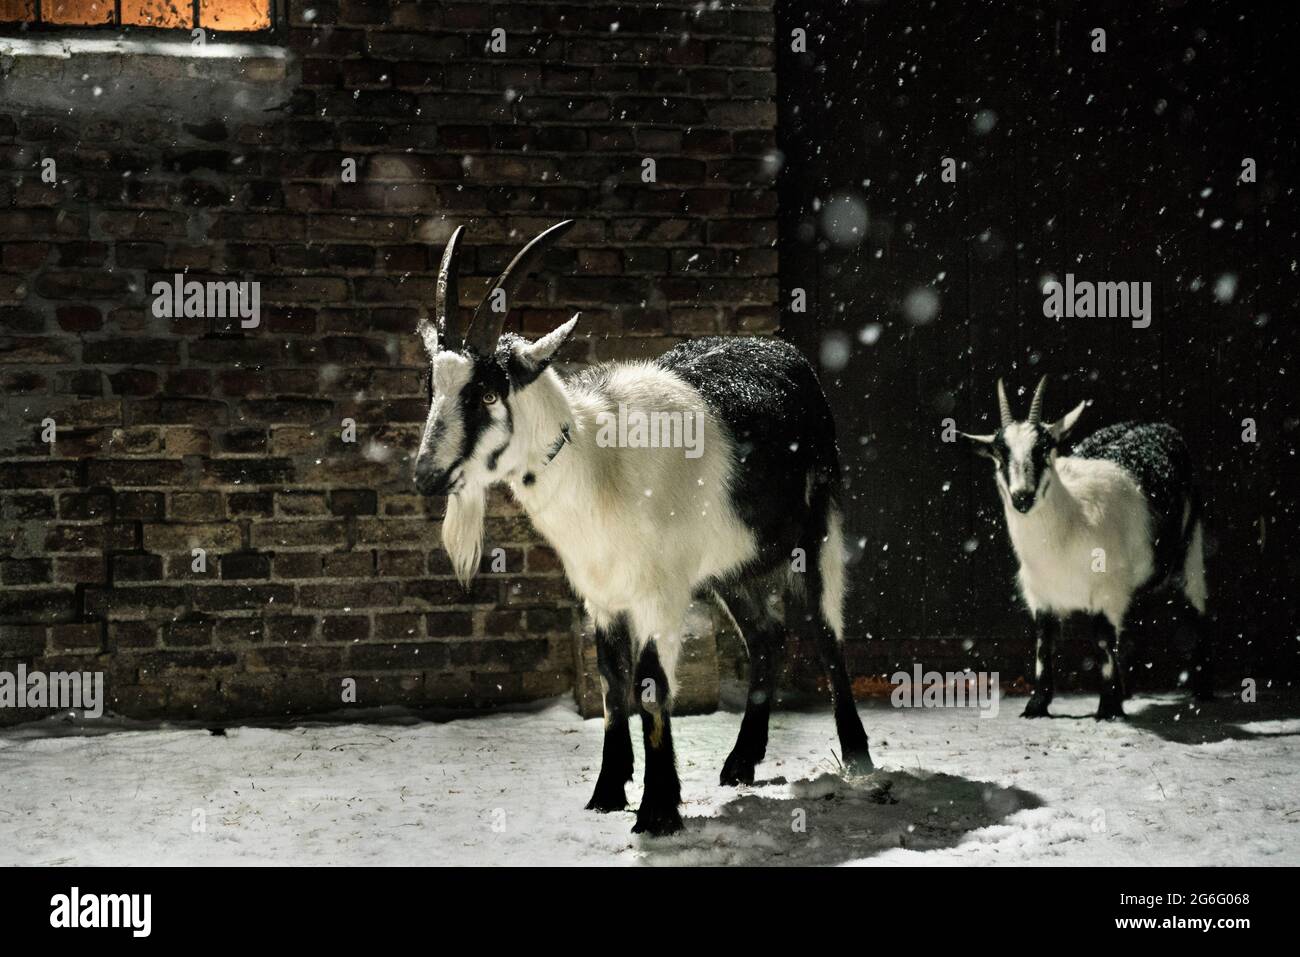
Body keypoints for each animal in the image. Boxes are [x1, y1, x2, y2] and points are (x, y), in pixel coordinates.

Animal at [412, 220, 873, 835]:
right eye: (433, 388)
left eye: (487, 392)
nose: (426, 475)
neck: (597, 465)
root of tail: (787, 350)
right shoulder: (603, 593)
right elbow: (612, 684)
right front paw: (608, 791)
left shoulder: (663, 590)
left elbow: (651, 685)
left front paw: (657, 810)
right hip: (732, 563)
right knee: (767, 639)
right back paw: (740, 763)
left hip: (816, 529)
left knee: (825, 632)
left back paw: (858, 758)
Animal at [959, 377, 1211, 719]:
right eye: (999, 454)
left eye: (1044, 448)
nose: (1022, 497)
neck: (1070, 525)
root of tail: (1159, 425)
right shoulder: (1041, 593)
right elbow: (1044, 643)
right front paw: (1036, 706)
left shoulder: (1107, 591)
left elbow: (1102, 640)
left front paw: (1108, 708)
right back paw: (1129, 691)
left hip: (1191, 547)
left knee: (1196, 608)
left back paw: (1202, 692)